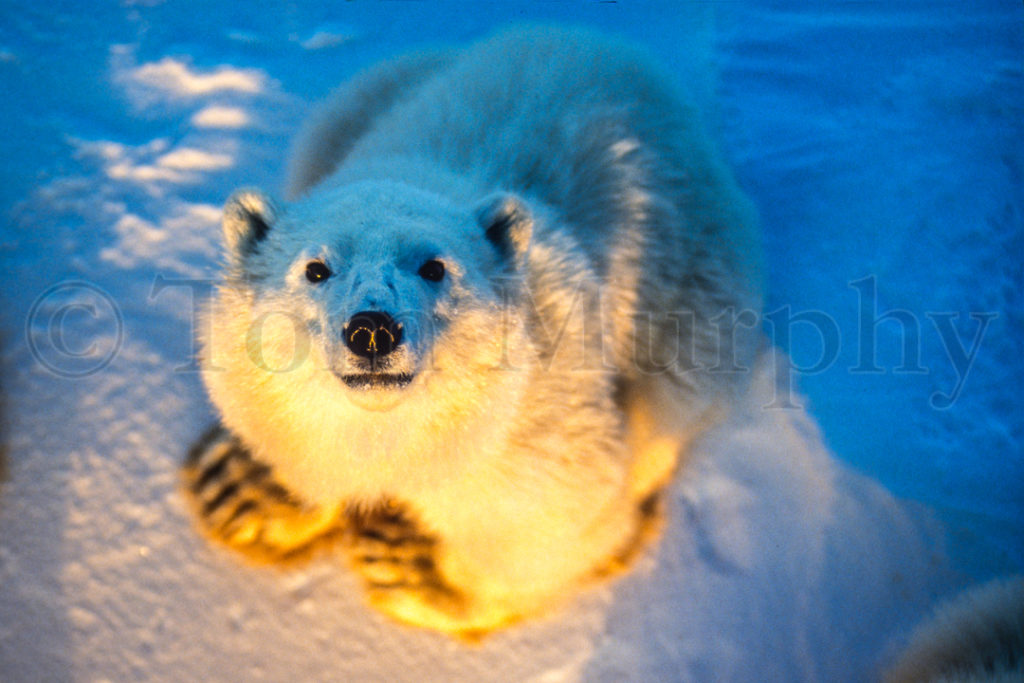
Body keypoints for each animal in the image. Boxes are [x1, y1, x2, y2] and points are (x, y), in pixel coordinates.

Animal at [184, 25, 762, 638]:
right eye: (316, 269)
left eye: (434, 267)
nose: (372, 330)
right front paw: (252, 487)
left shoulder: (541, 410)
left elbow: (554, 513)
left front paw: (413, 567)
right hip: (360, 101)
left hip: (699, 303)